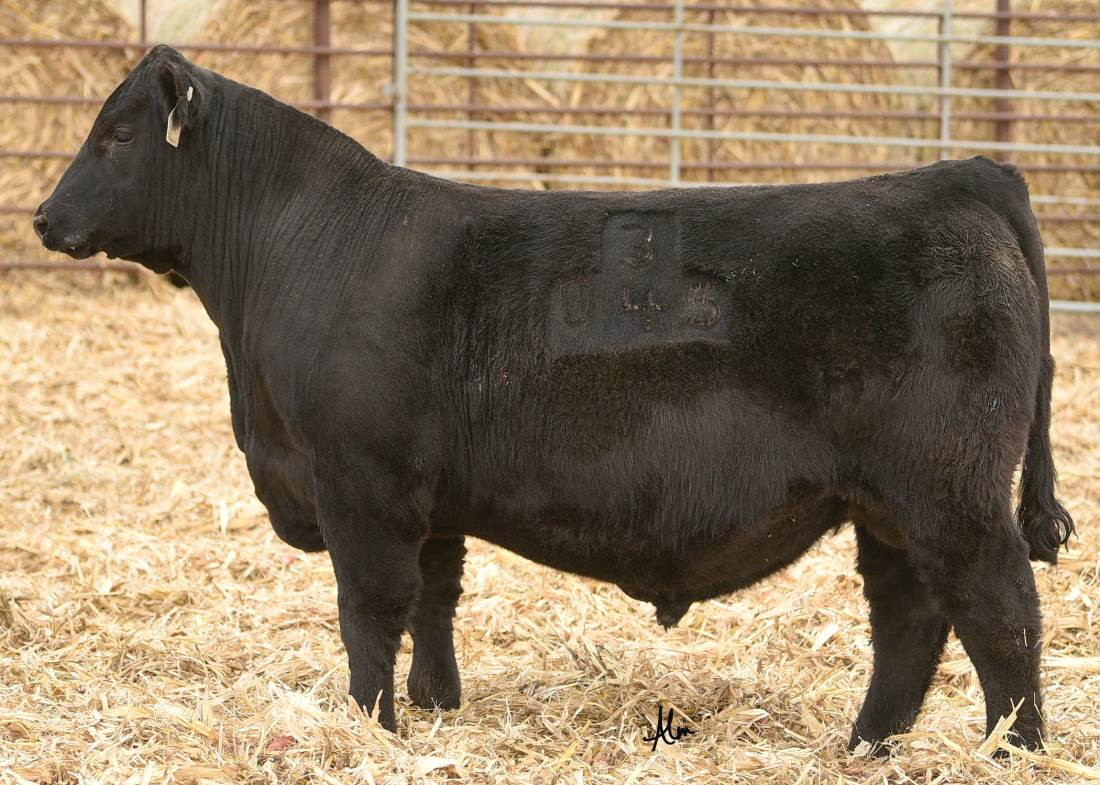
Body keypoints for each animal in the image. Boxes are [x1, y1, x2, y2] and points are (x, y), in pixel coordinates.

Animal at [34, 46, 1074, 753]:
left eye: (117, 135)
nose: (43, 216)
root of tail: (962, 174)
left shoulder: (361, 482)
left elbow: (370, 605)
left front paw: (373, 725)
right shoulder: (430, 495)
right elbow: (435, 597)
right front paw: (436, 704)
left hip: (949, 489)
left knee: (1002, 610)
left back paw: (1012, 750)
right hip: (887, 503)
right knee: (910, 617)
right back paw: (868, 745)